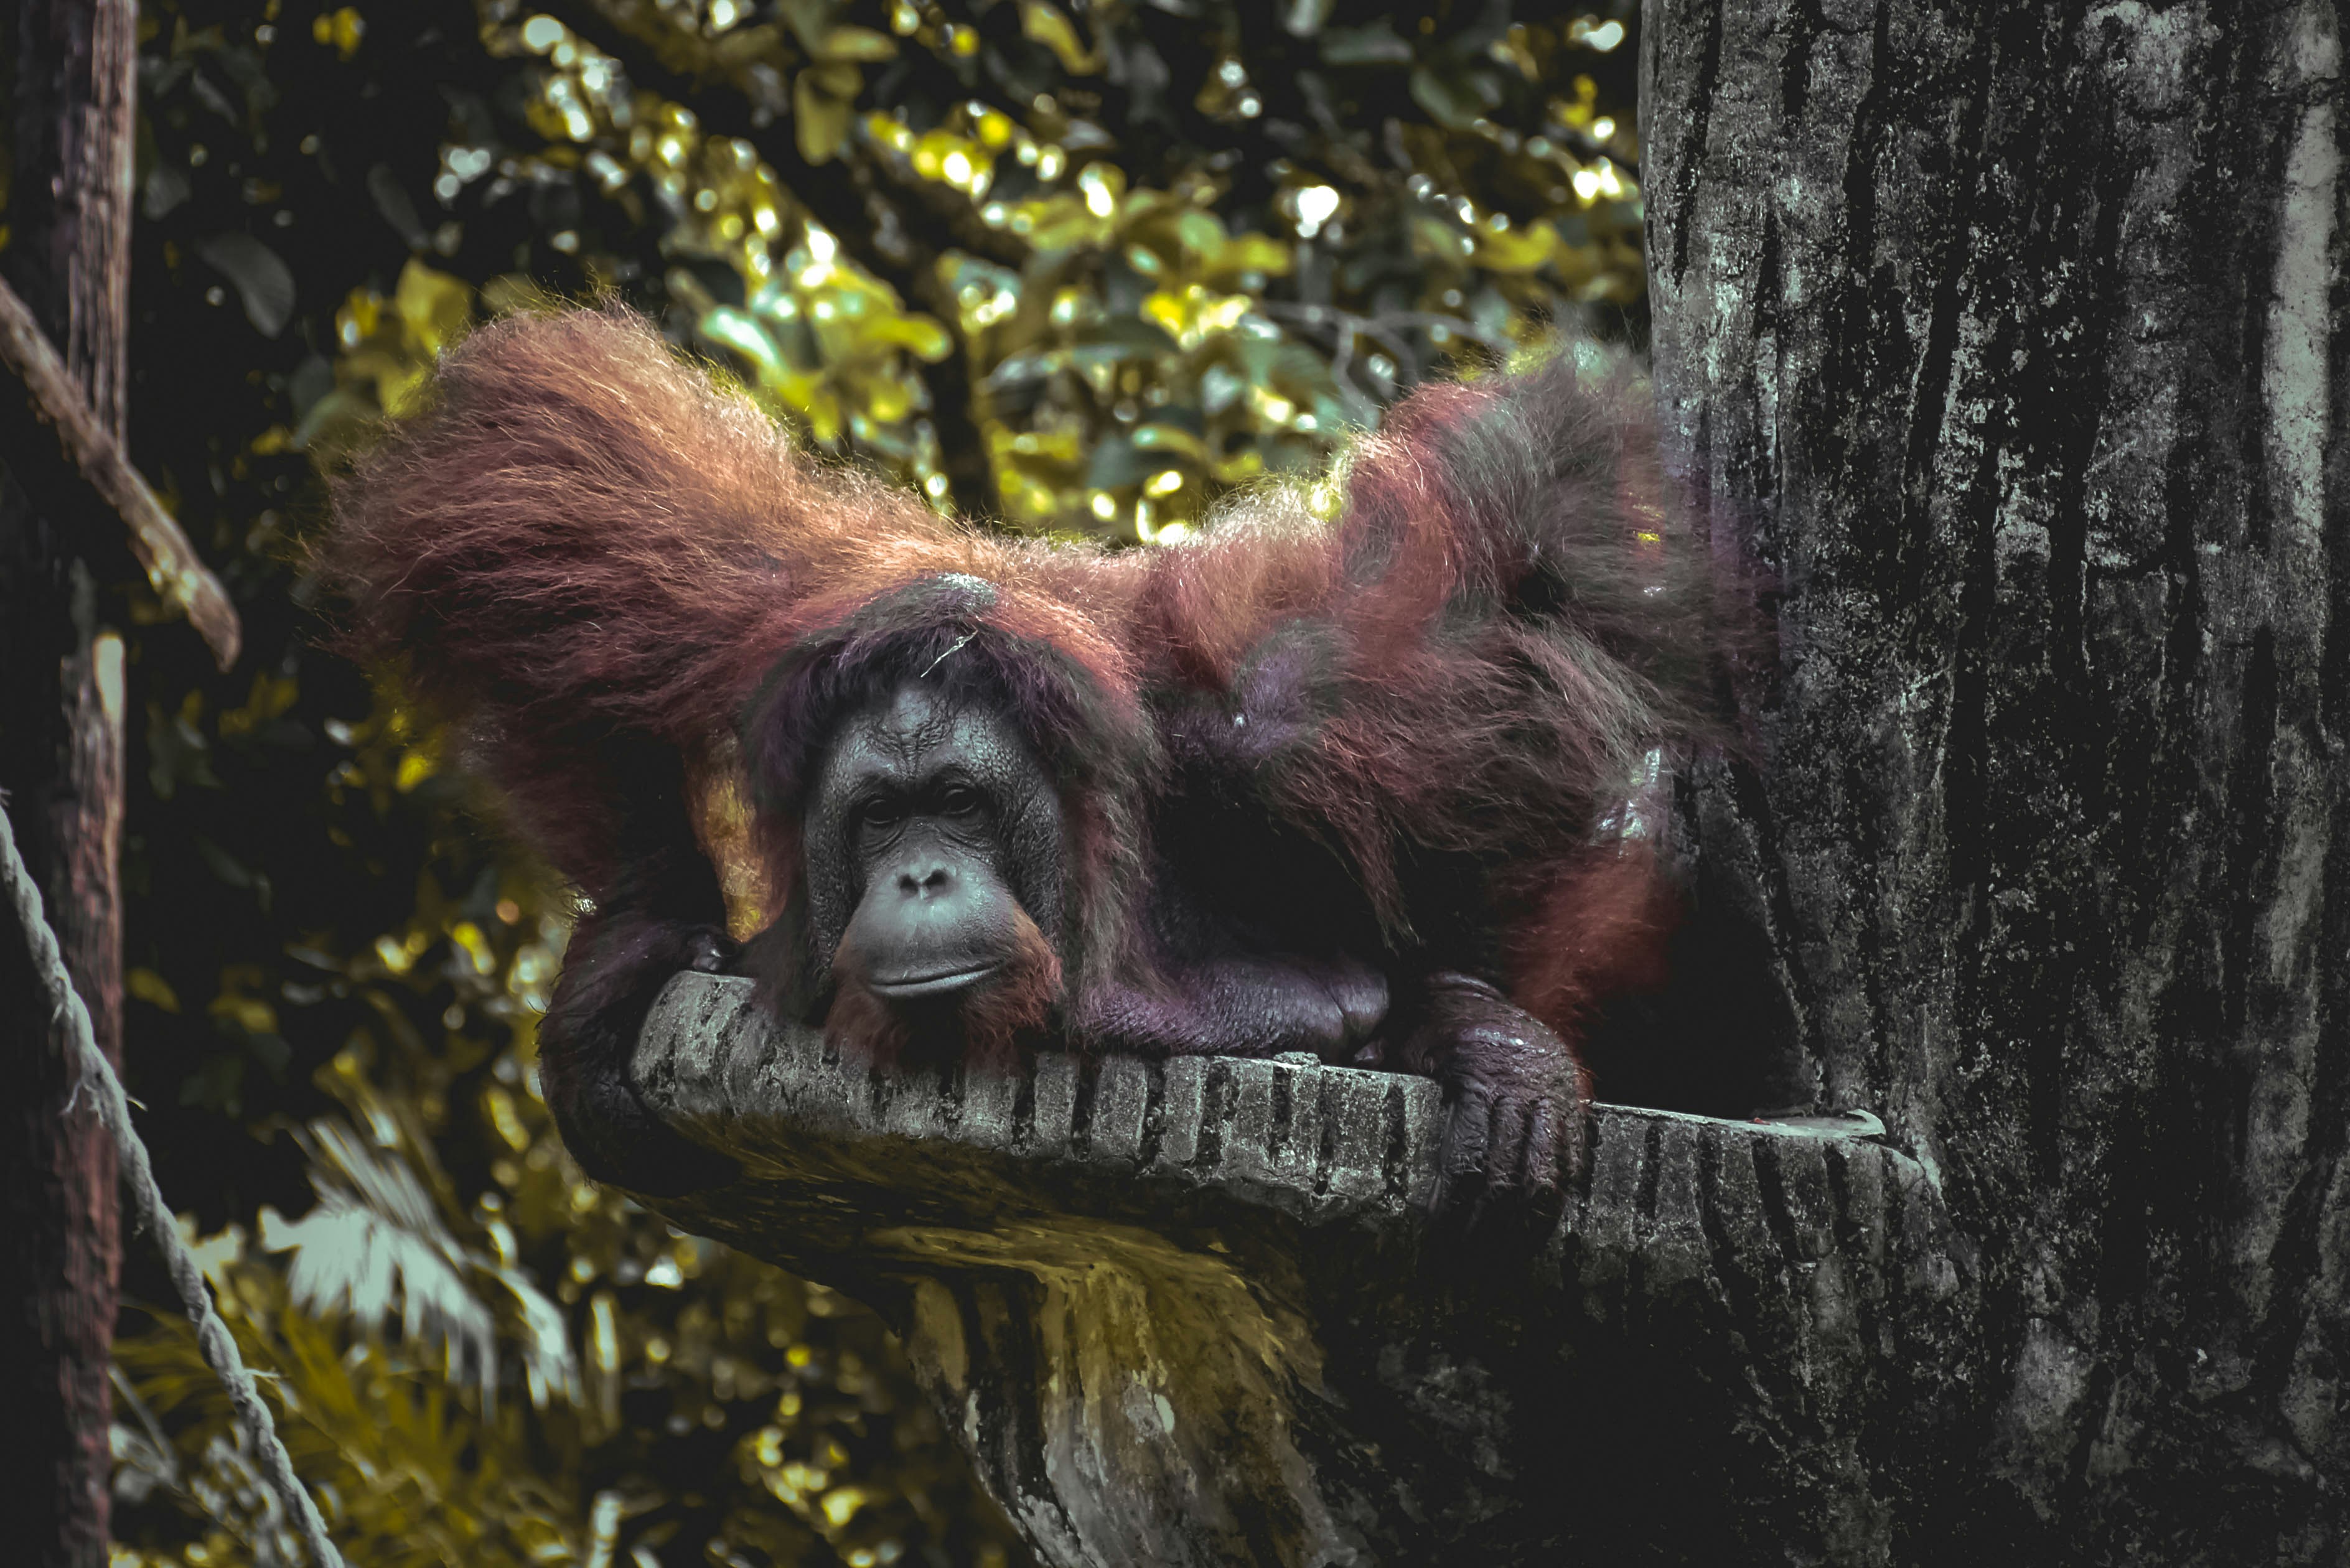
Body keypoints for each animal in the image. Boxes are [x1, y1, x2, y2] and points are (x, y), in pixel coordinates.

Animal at [320, 305, 1747, 1218]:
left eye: (958, 803)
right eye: (882, 817)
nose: (920, 878)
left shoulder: (1278, 725)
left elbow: (1526, 563)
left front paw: (1489, 1040)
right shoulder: (770, 625)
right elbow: (529, 481)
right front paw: (643, 935)